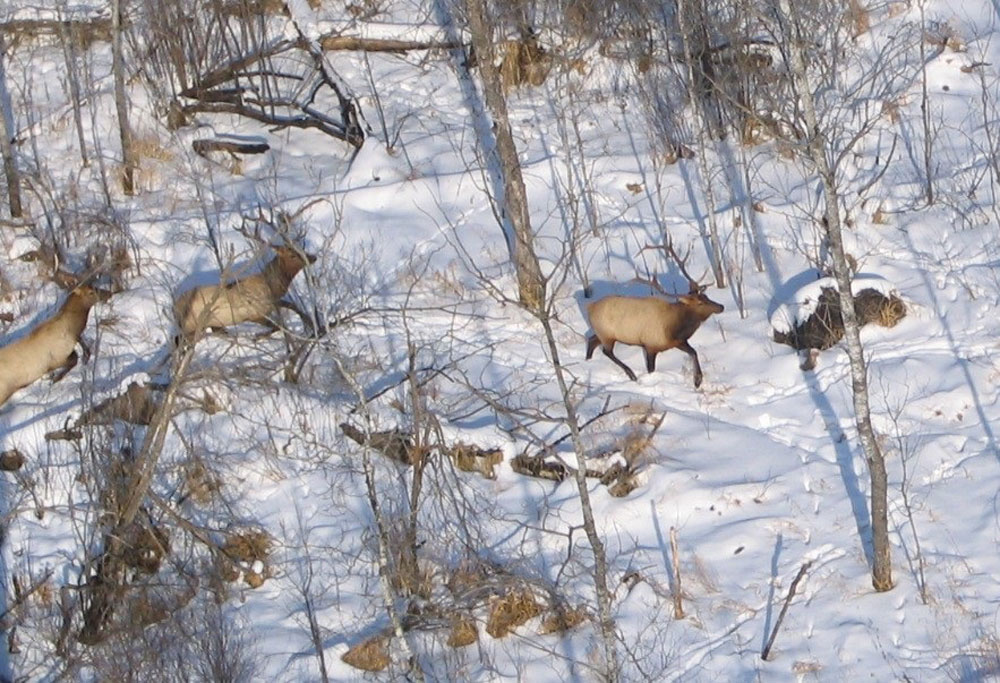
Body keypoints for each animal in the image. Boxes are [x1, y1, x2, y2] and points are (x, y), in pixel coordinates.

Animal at [173, 244, 316, 342]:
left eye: (298, 247)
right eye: (292, 255)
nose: (313, 257)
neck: (273, 288)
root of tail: (173, 308)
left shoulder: (272, 304)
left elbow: (292, 306)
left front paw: (309, 323)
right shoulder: (254, 314)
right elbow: (278, 327)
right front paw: (257, 337)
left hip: (211, 324)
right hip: (189, 326)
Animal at [585, 242, 725, 388]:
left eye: (706, 296)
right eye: (699, 303)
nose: (721, 307)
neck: (675, 328)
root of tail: (590, 307)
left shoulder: (677, 342)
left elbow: (693, 351)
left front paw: (697, 380)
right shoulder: (650, 345)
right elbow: (651, 369)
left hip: (602, 333)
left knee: (591, 340)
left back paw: (588, 361)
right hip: (607, 334)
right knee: (606, 351)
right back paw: (631, 374)